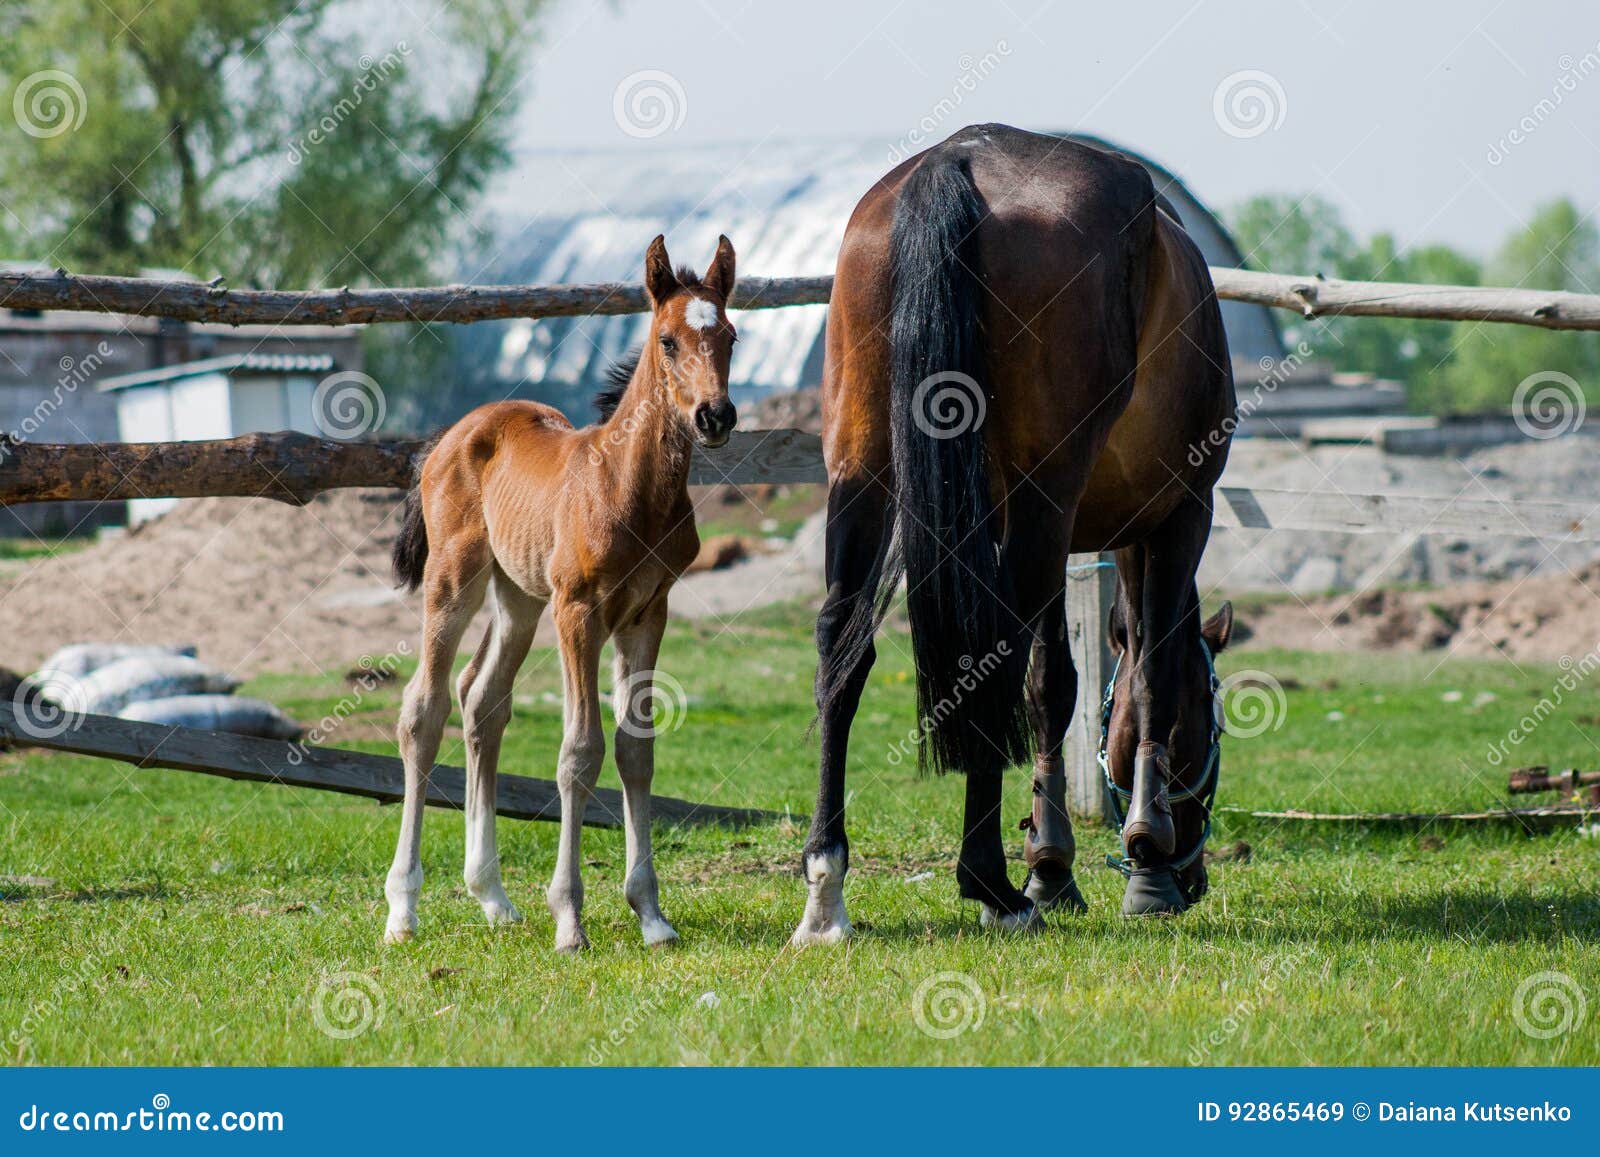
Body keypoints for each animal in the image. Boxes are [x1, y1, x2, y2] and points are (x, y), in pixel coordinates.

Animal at [383, 234, 740, 951]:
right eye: (667, 340)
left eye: (732, 337)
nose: (715, 415)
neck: (628, 486)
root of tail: (448, 437)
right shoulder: (579, 613)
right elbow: (580, 753)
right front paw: (570, 919)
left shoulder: (647, 614)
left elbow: (635, 750)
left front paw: (651, 915)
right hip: (454, 582)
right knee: (424, 711)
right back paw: (403, 908)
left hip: (519, 599)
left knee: (482, 701)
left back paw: (491, 896)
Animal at [792, 123, 1237, 944]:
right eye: (1212, 718)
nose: (1195, 873)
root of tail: (959, 159)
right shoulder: (1179, 514)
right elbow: (1148, 675)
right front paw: (1144, 857)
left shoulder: (1064, 534)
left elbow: (1051, 684)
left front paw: (1053, 864)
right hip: (1044, 500)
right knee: (990, 654)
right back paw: (991, 883)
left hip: (864, 476)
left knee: (844, 650)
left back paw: (827, 887)